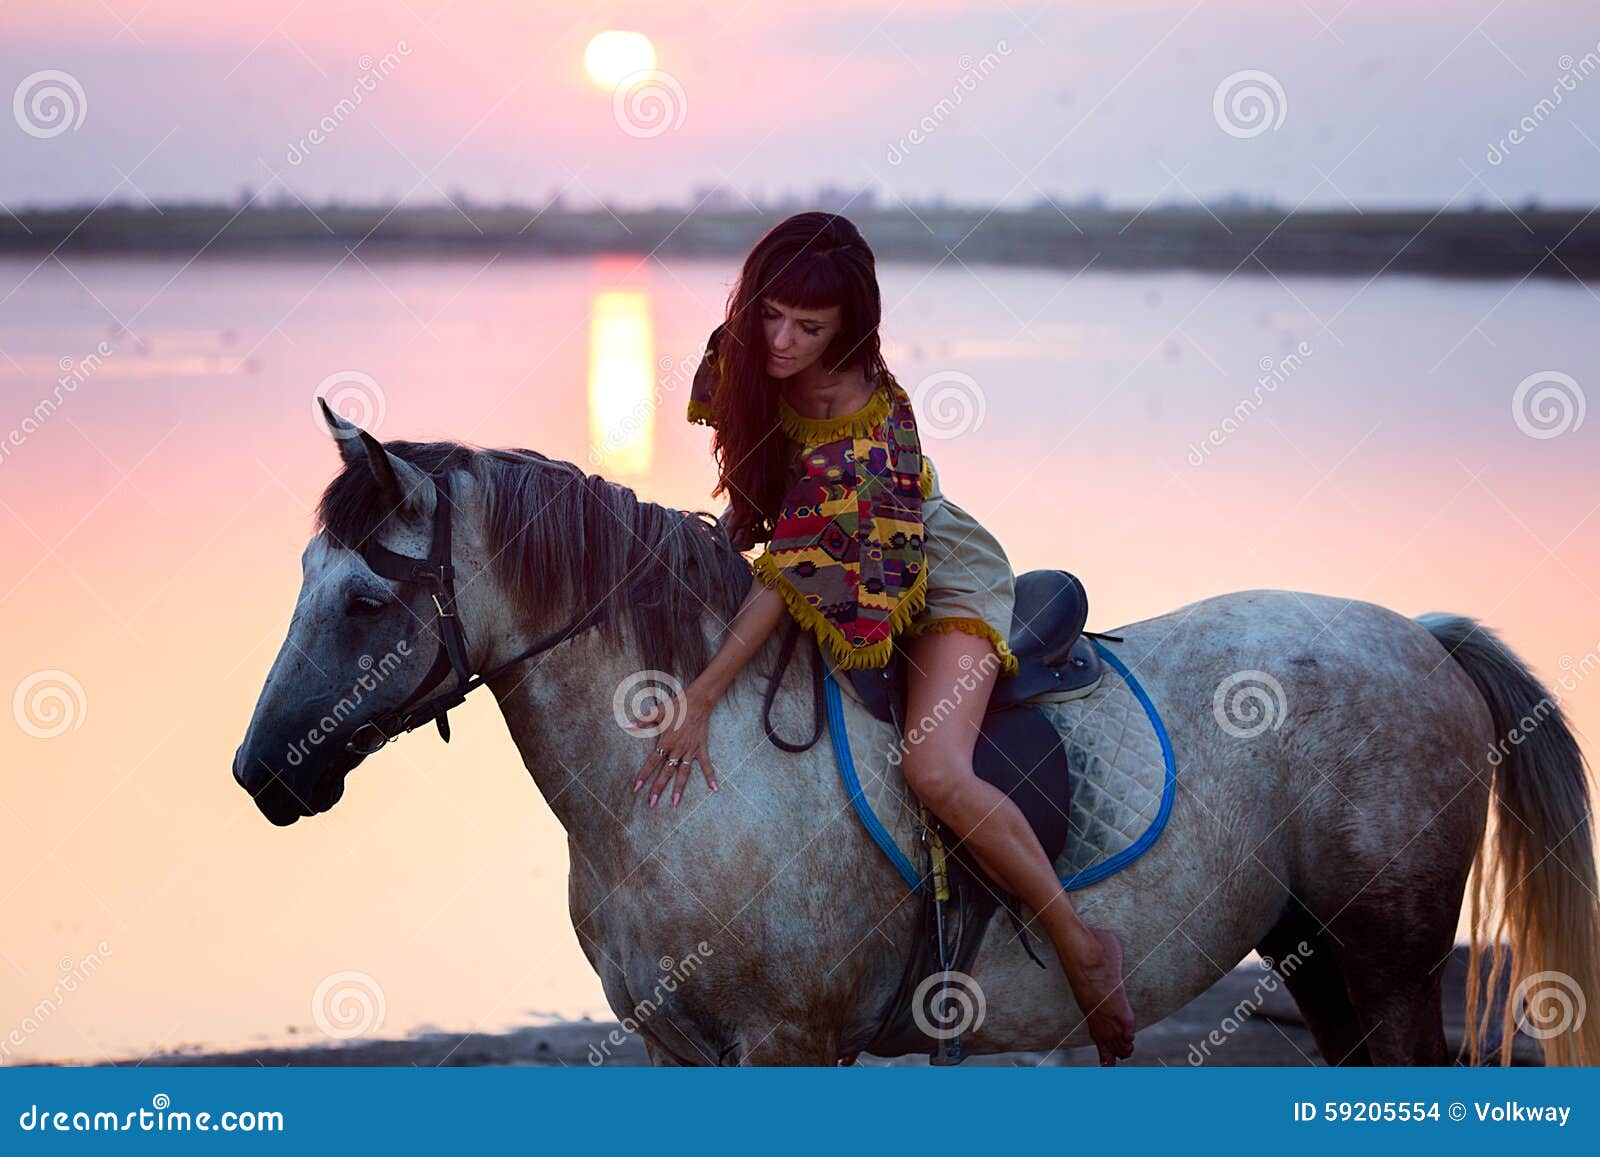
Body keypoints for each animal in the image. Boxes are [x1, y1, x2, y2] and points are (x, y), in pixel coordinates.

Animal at [232, 406, 1600, 1067]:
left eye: (364, 600)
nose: (256, 773)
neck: (679, 783)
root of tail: (1421, 635)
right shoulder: (678, 1046)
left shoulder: (786, 1044)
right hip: (1316, 952)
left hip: (1389, 954)